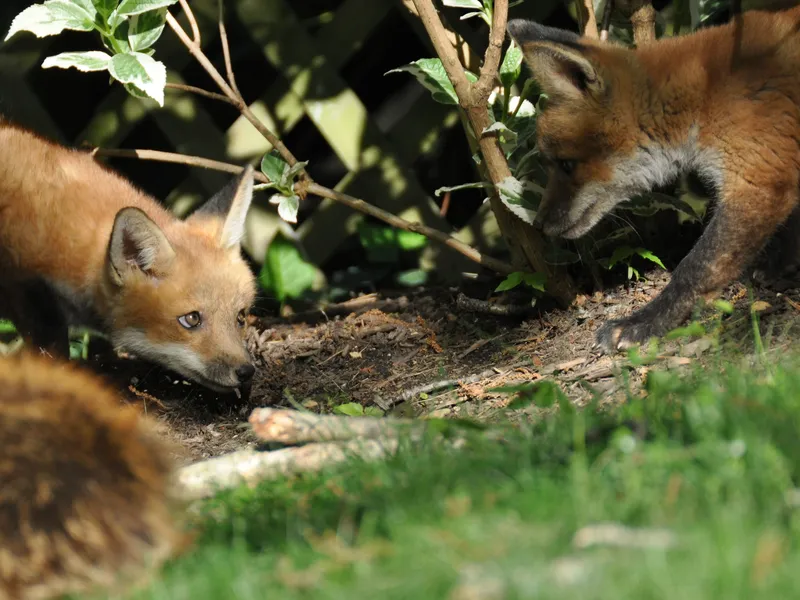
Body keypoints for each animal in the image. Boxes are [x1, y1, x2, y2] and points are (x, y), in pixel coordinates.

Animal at [507, 6, 800, 352]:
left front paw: (644, 323)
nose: (539, 224)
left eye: (566, 164)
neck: (706, 93)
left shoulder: (756, 181)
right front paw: (780, 268)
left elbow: (696, 267)